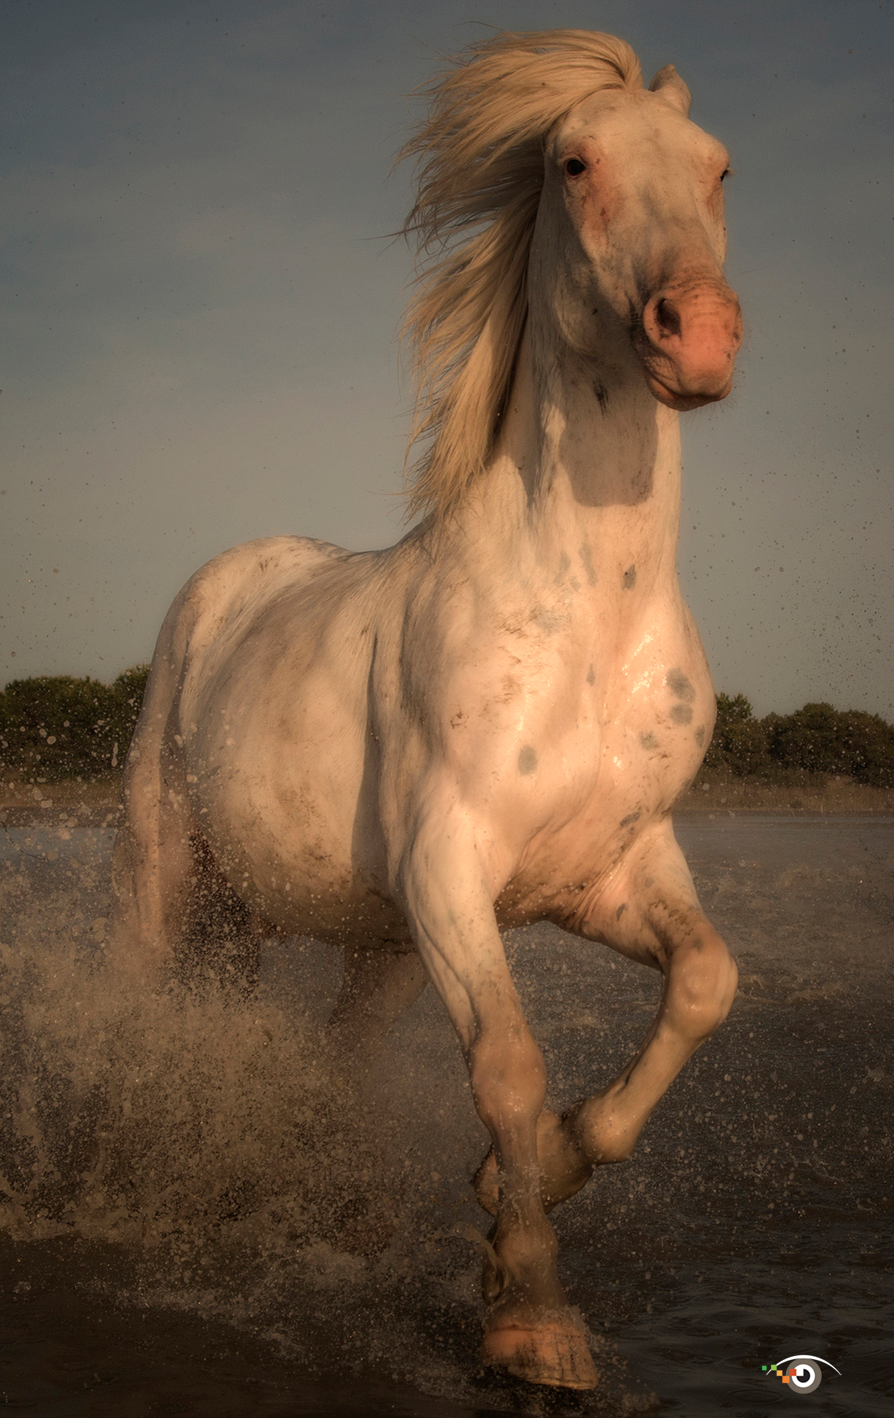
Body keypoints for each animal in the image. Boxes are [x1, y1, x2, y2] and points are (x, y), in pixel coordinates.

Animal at [110, 30, 742, 1392]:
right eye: (575, 162)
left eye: (719, 165)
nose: (702, 334)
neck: (589, 624)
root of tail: (226, 582)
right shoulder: (453, 865)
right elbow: (505, 1059)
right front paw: (532, 1317)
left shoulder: (610, 869)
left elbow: (704, 982)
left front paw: (538, 1170)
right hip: (172, 876)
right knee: (150, 1007)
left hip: (371, 946)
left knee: (329, 1058)